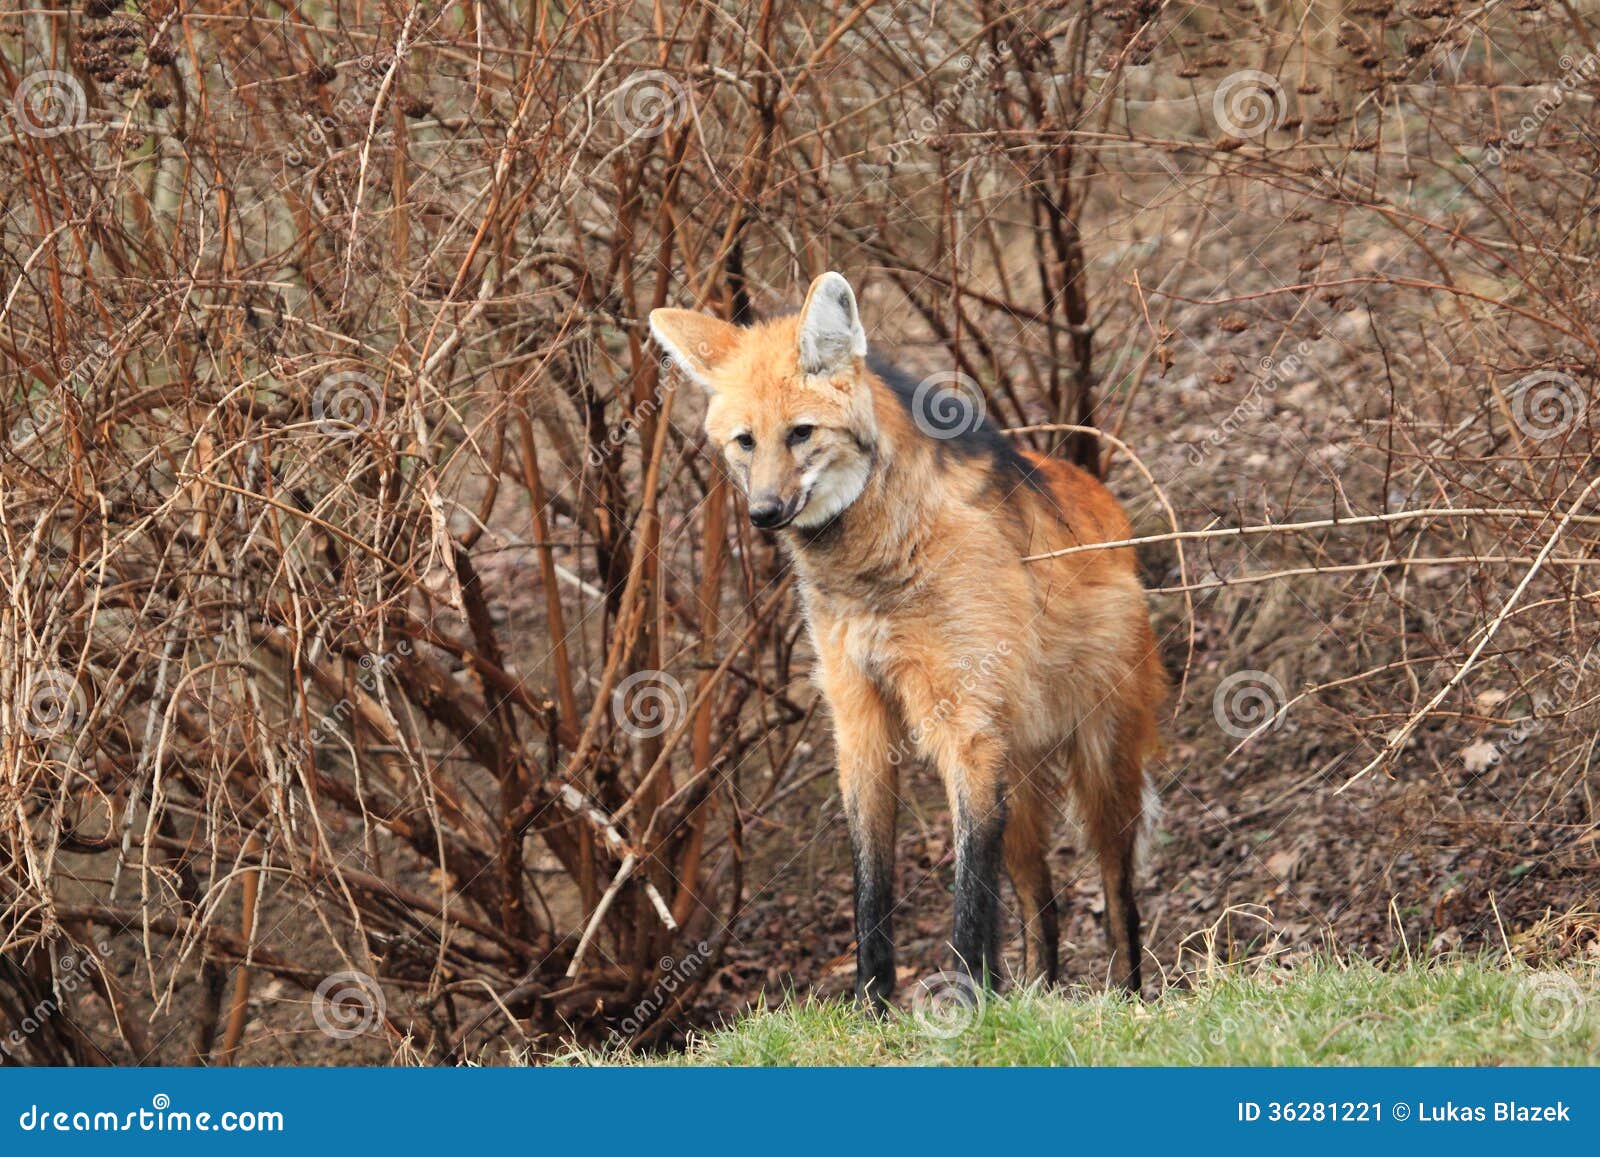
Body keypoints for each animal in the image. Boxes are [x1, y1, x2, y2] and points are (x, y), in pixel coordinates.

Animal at [651, 272, 1165, 1006]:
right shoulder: (860, 717)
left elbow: (970, 894)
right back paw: (1038, 996)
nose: (764, 513)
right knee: (1041, 904)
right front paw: (872, 1006)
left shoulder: (965, 727)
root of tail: (1109, 506)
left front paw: (970, 1003)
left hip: (1097, 762)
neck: (871, 565)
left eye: (801, 433)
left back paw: (1127, 997)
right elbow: (871, 883)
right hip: (1020, 773)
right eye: (746, 441)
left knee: (1118, 892)